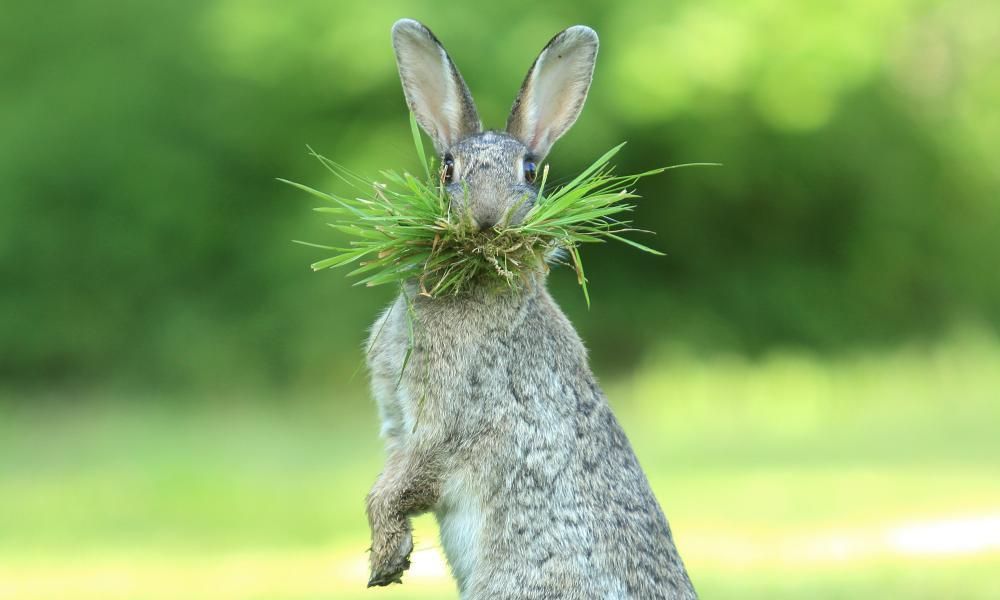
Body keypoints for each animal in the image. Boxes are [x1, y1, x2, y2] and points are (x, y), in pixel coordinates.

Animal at [363, 18, 697, 599]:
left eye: (529, 170)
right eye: (447, 169)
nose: (487, 217)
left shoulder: (445, 422)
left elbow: (406, 481)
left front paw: (385, 560)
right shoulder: (399, 427)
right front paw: (391, 556)